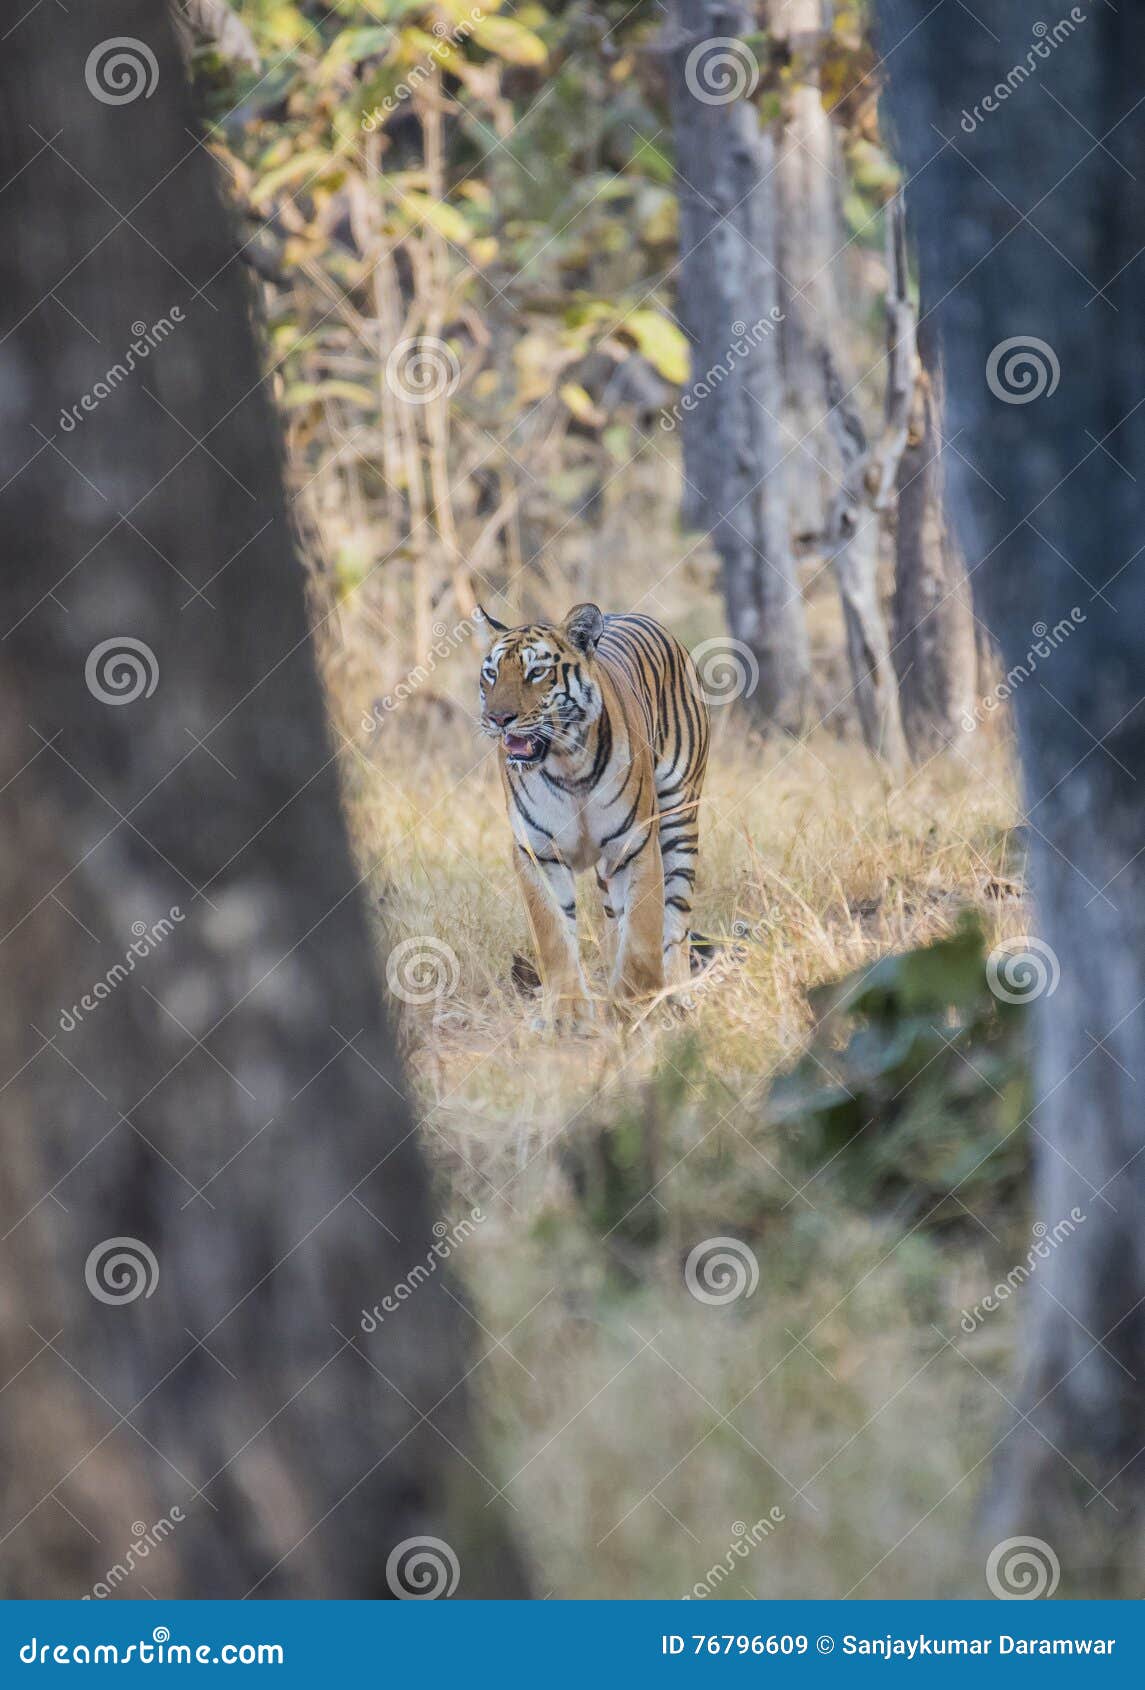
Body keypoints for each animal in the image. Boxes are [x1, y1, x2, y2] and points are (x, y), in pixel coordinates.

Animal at [478, 602, 710, 1027]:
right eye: (491, 673)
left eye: (536, 673)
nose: (498, 718)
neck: (566, 767)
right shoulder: (538, 853)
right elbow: (554, 935)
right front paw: (567, 1014)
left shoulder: (636, 844)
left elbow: (643, 930)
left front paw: (636, 1003)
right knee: (613, 920)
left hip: (680, 815)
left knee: (676, 917)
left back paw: (675, 995)